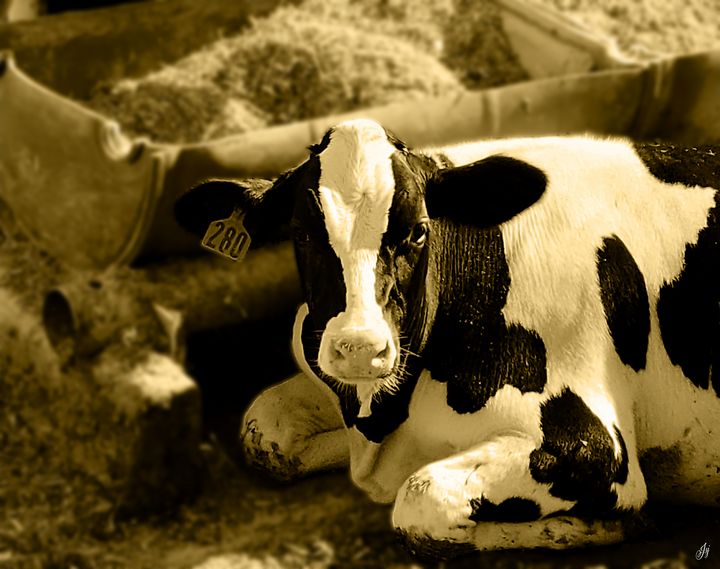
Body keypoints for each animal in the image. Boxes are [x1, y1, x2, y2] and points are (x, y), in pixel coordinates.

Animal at [174, 118, 720, 556]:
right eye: (302, 233)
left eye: (418, 231)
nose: (359, 348)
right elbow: (262, 429)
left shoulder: (594, 443)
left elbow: (418, 500)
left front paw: (598, 525)